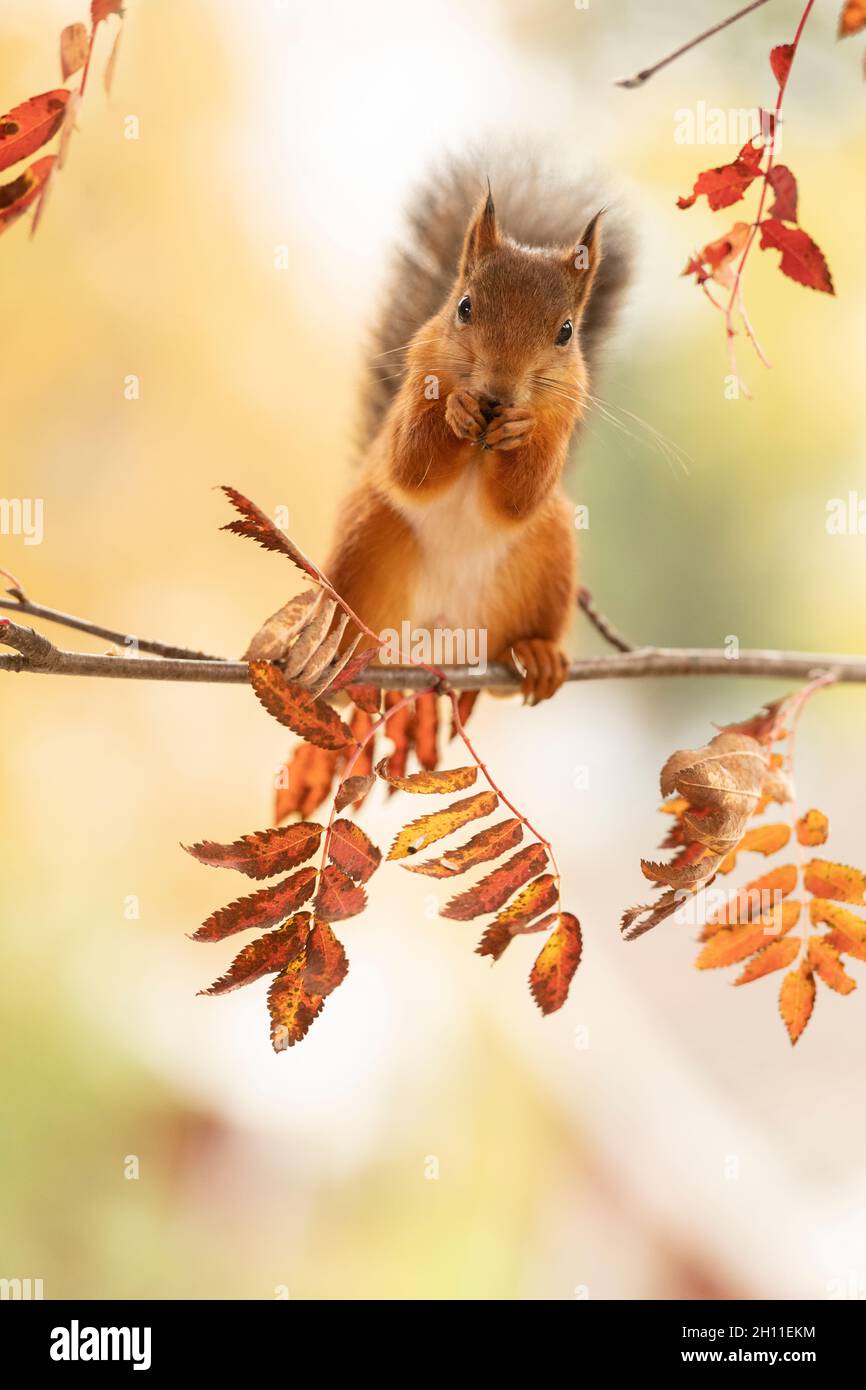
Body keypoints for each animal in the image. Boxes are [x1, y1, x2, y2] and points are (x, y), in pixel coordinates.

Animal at [326, 155, 633, 704]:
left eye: (566, 331)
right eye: (464, 307)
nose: (497, 393)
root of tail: (444, 641)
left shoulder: (561, 417)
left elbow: (518, 497)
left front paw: (519, 428)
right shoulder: (416, 383)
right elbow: (410, 465)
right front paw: (458, 410)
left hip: (546, 559)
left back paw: (534, 654)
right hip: (368, 541)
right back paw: (343, 656)